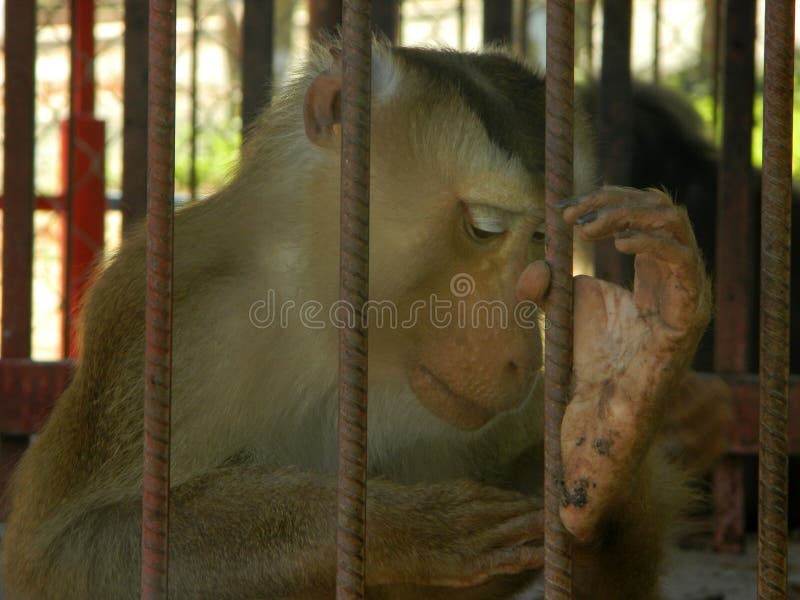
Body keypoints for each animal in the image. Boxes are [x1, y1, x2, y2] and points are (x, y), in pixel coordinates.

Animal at [2, 41, 712, 599]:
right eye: (483, 227)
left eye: (543, 239)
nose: (521, 352)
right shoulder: (188, 326)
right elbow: (69, 557)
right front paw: (388, 526)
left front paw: (613, 420)